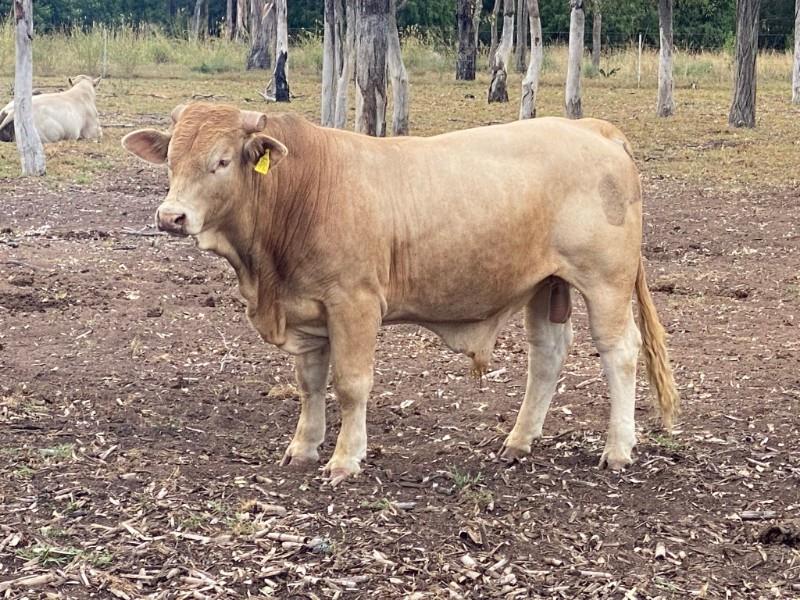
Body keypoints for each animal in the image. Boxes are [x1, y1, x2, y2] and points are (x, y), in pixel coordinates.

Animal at [122, 103, 679, 486]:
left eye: (220, 161)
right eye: (171, 158)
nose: (171, 216)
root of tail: (590, 127)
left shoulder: (355, 303)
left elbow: (351, 384)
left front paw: (345, 458)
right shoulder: (307, 311)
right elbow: (309, 384)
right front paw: (303, 447)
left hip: (604, 282)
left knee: (620, 351)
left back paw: (618, 448)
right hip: (546, 284)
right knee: (547, 356)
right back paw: (519, 441)